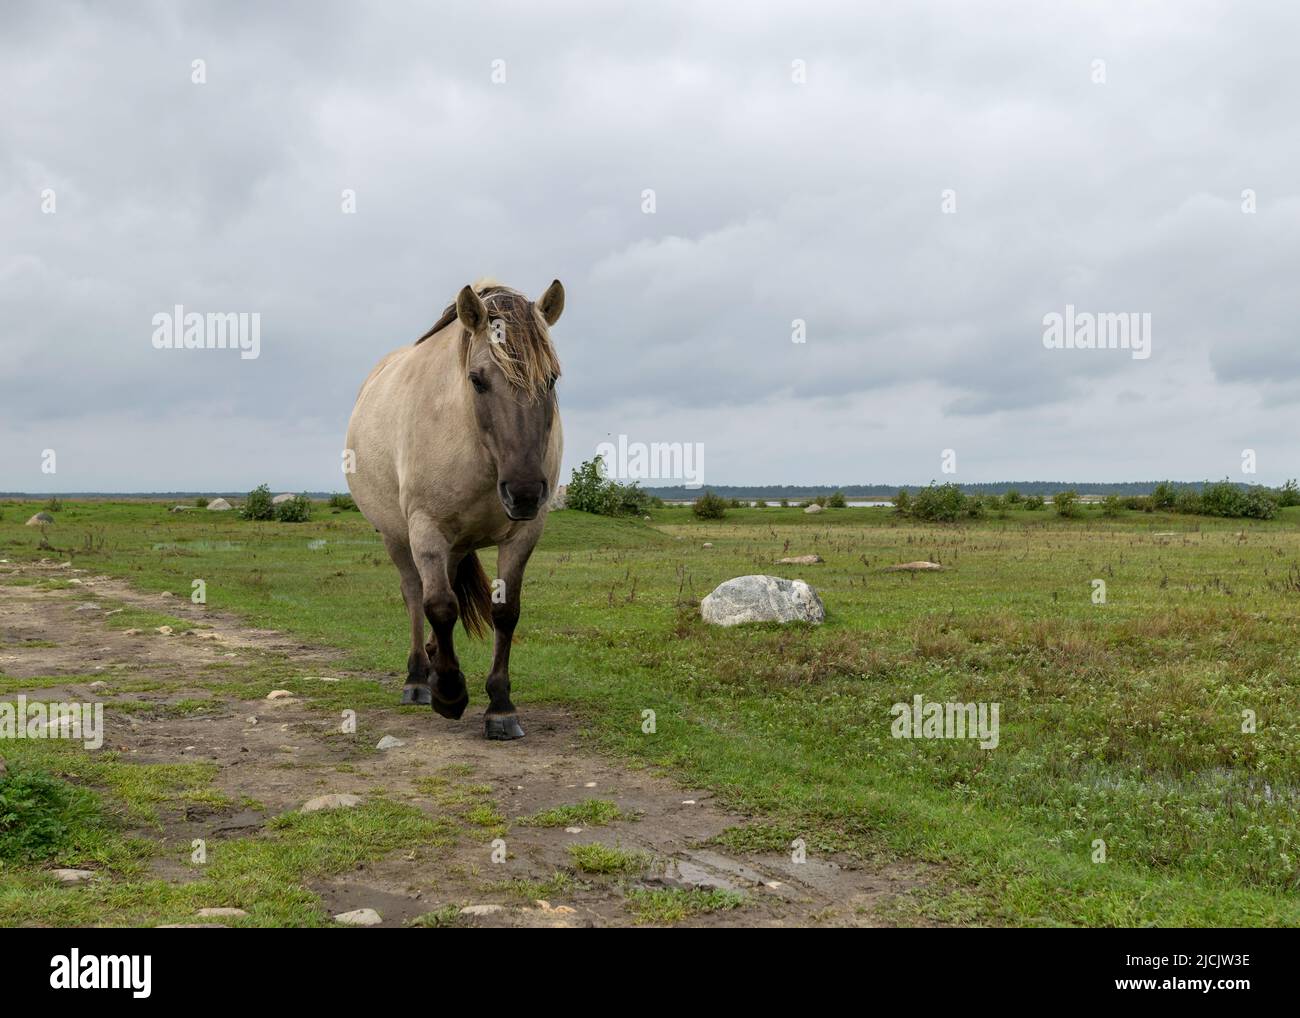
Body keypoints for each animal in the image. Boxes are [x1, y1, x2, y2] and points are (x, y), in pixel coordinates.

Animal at [345, 279, 564, 740]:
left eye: (551, 378)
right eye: (477, 380)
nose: (524, 492)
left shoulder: (523, 534)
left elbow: (505, 611)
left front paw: (500, 705)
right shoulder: (425, 529)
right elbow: (440, 606)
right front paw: (449, 692)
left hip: (456, 544)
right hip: (398, 537)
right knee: (416, 595)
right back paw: (418, 677)